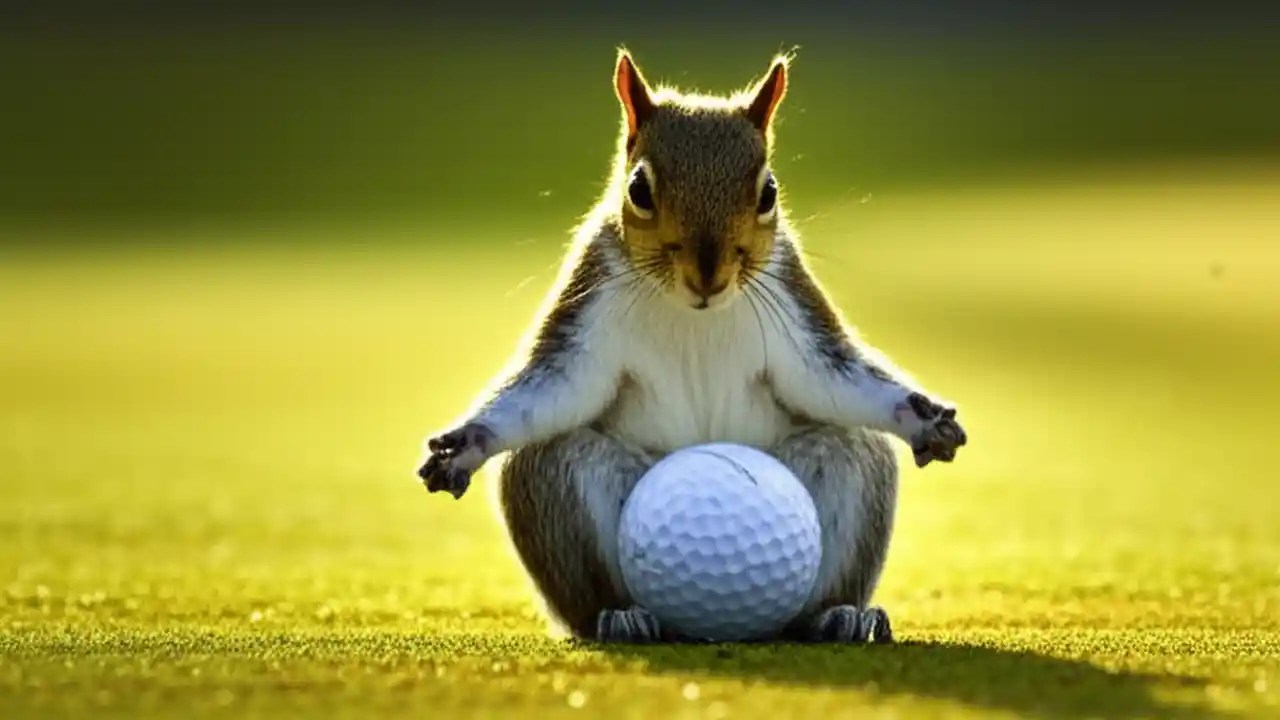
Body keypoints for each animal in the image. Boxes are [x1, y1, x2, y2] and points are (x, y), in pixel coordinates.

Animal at [417, 50, 967, 644]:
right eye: (639, 189)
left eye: (769, 193)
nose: (709, 275)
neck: (693, 312)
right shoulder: (585, 313)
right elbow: (551, 389)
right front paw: (465, 445)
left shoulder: (796, 313)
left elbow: (834, 378)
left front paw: (923, 418)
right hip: (558, 478)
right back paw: (622, 617)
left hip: (846, 465)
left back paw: (839, 615)